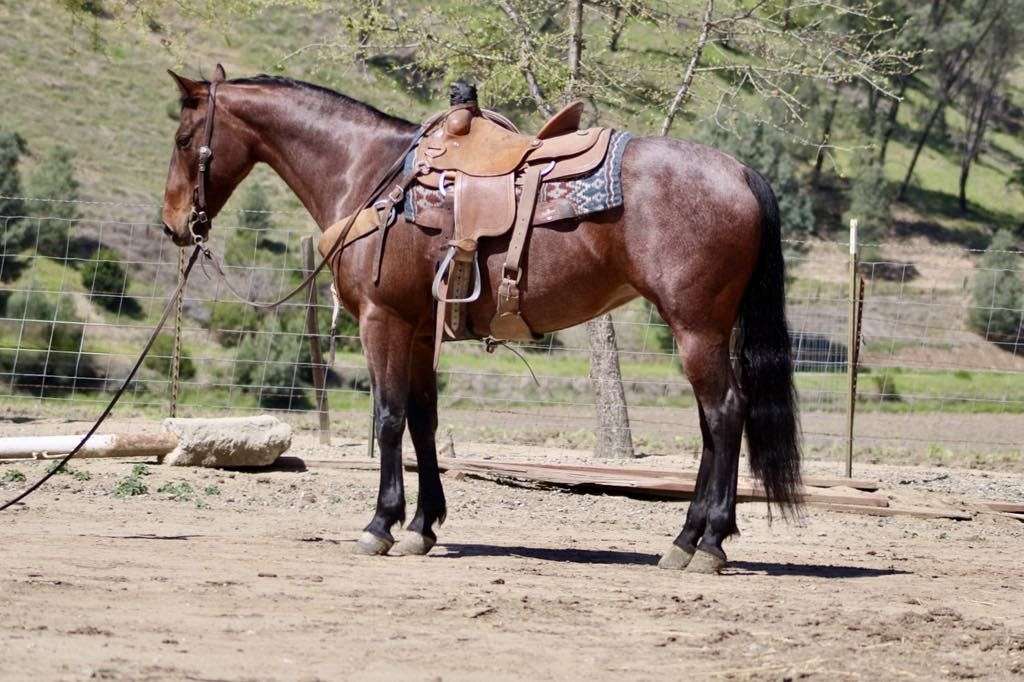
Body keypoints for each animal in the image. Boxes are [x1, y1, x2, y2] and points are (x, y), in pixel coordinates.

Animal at [160, 68, 802, 574]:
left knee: (724, 415)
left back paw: (707, 543)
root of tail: (739, 172)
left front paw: (380, 525)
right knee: (713, 426)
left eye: (184, 138)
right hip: (703, 331)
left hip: (696, 329)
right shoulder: (420, 328)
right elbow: (423, 421)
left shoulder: (382, 321)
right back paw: (690, 537)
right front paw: (422, 526)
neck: (367, 172)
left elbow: (388, 419)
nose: (173, 224)